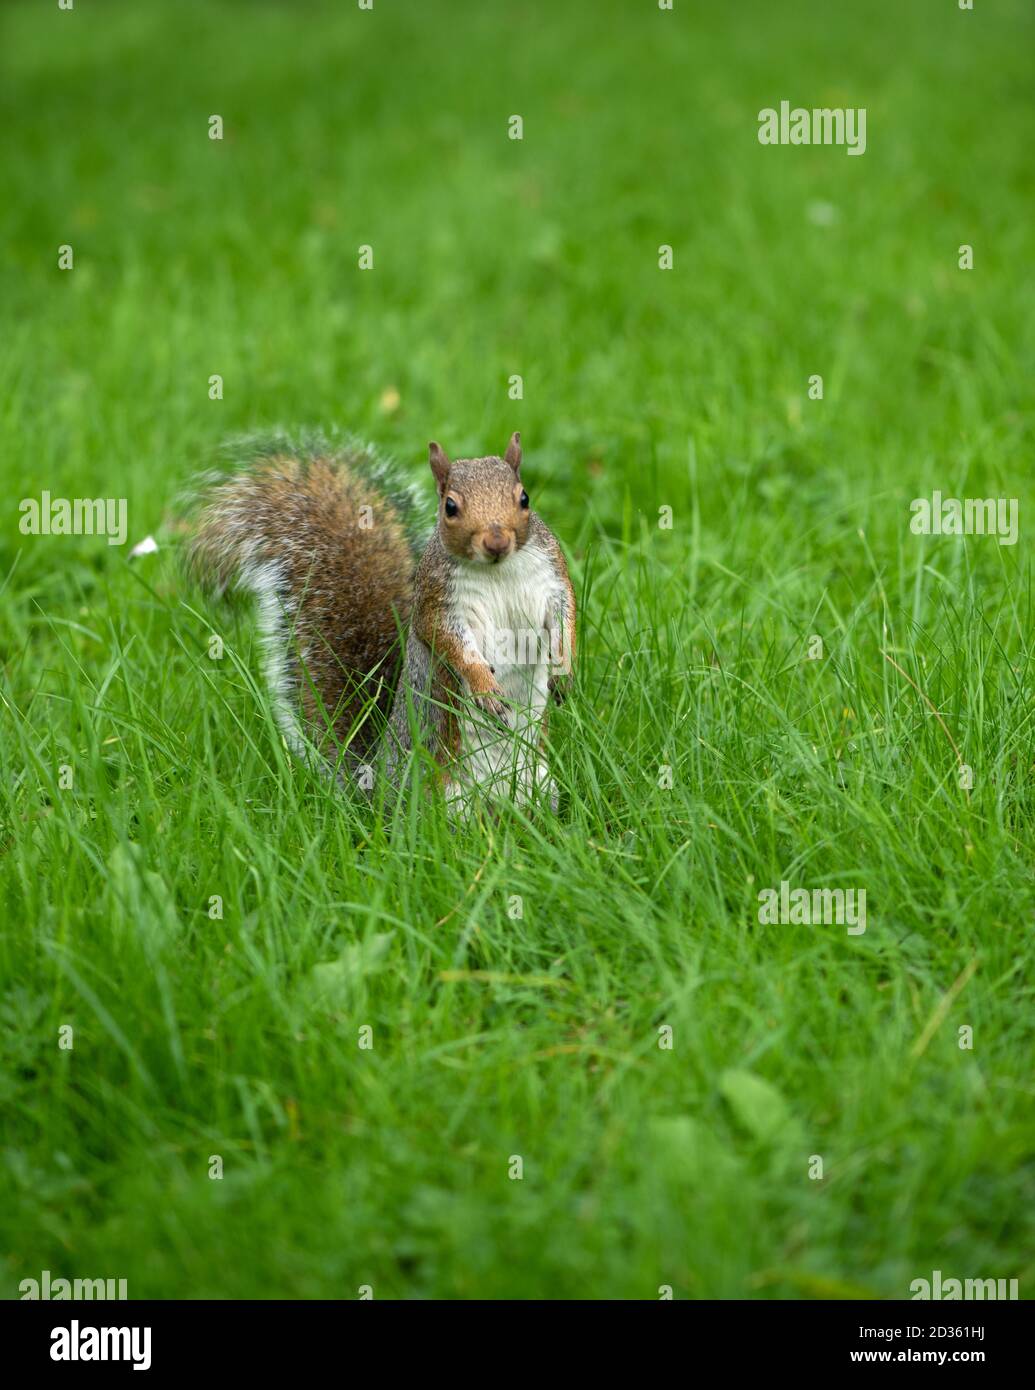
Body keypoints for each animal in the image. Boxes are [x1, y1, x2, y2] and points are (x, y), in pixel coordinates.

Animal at [186, 429, 576, 812]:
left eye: (524, 498)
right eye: (450, 507)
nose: (497, 542)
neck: (497, 569)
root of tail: (377, 789)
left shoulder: (552, 578)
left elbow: (564, 620)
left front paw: (564, 671)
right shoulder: (438, 601)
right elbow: (451, 644)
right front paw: (485, 688)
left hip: (542, 785)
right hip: (446, 800)